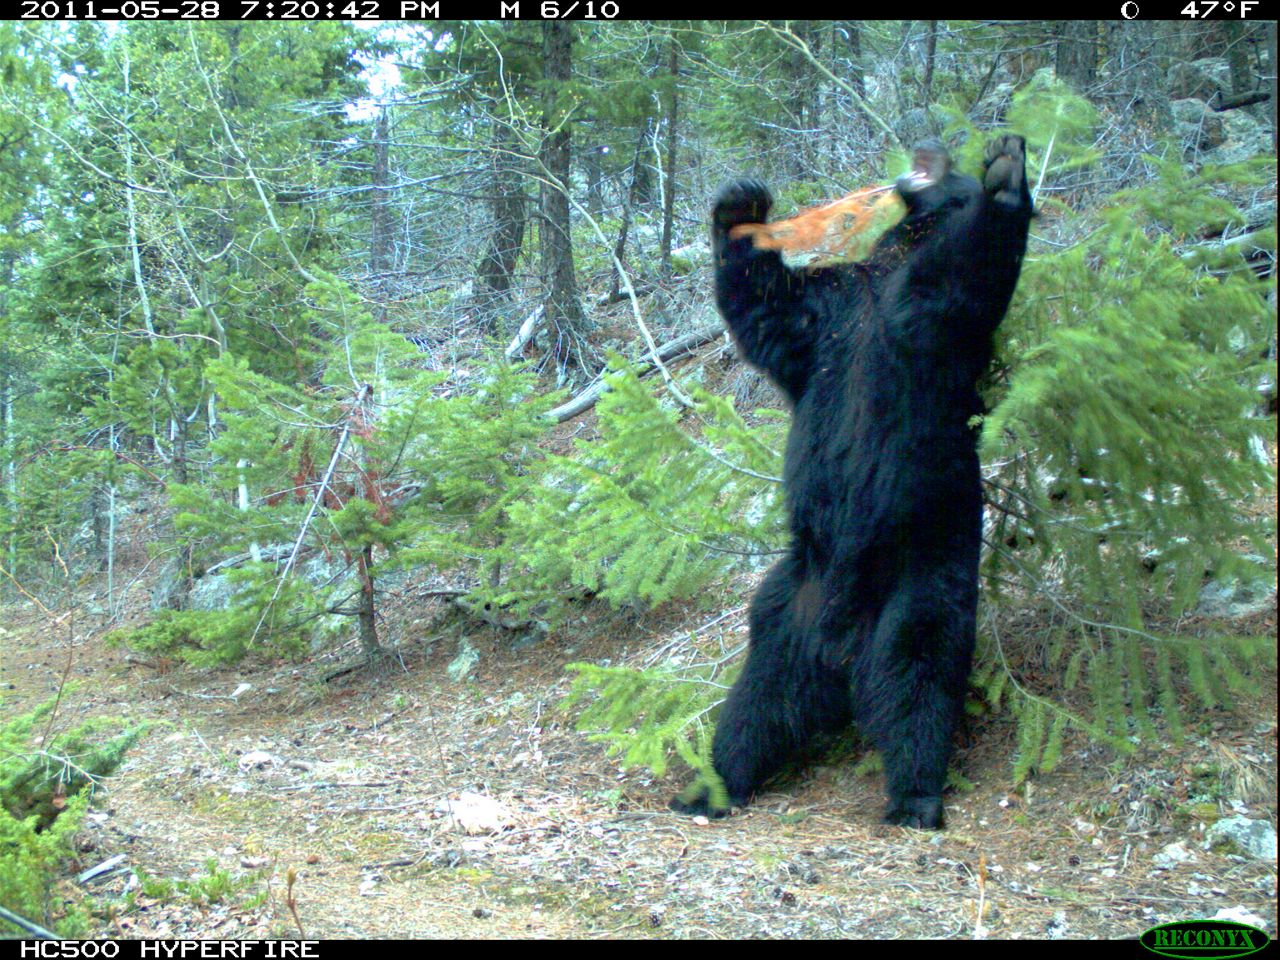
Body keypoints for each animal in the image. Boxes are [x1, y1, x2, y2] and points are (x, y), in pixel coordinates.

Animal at [672, 136, 1034, 828]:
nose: (926, 151)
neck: (888, 263)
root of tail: (838, 651)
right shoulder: (829, 313)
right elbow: (769, 310)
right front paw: (740, 206)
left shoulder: (929, 323)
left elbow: (964, 282)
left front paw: (1006, 179)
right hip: (782, 610)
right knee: (753, 707)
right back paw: (708, 789)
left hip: (921, 584)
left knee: (920, 683)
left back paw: (915, 798)